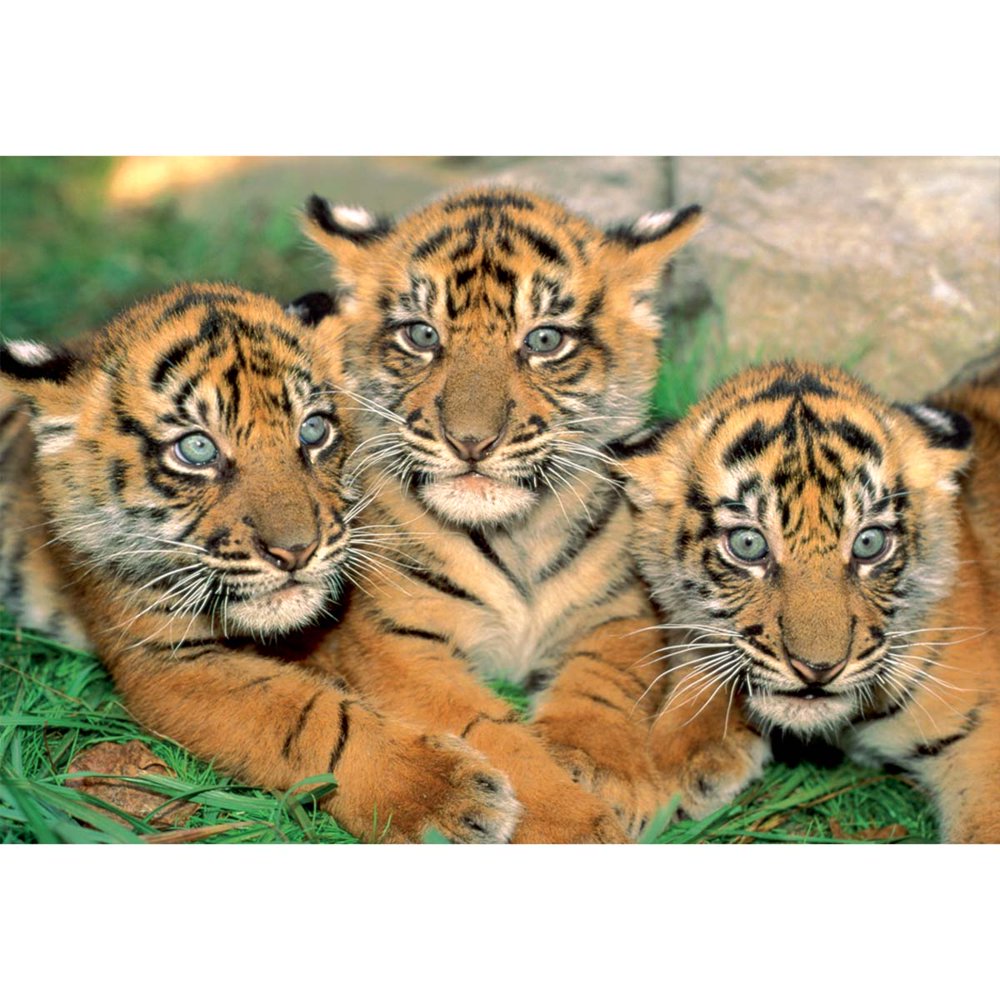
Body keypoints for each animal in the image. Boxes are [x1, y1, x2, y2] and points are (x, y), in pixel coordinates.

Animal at [0, 283, 521, 843]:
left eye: (313, 431)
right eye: (197, 448)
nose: (295, 550)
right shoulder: (162, 662)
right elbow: (308, 717)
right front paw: (443, 796)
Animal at [294, 186, 704, 842]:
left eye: (544, 340)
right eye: (421, 335)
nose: (470, 442)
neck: (517, 535)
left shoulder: (618, 613)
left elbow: (603, 687)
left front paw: (608, 771)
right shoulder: (396, 641)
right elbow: (488, 731)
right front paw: (574, 825)